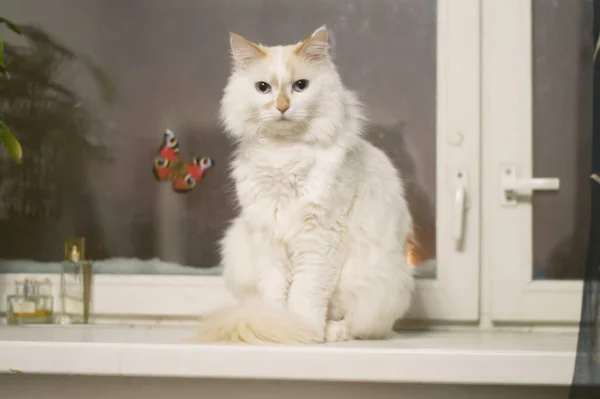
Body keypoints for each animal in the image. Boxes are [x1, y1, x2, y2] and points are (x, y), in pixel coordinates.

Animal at [195, 25, 414, 344]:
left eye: (300, 86)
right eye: (263, 88)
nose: (282, 106)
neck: (284, 154)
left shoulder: (319, 236)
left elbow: (305, 293)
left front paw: (303, 331)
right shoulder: (268, 235)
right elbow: (276, 292)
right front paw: (277, 326)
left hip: (378, 286)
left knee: (358, 324)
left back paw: (332, 331)